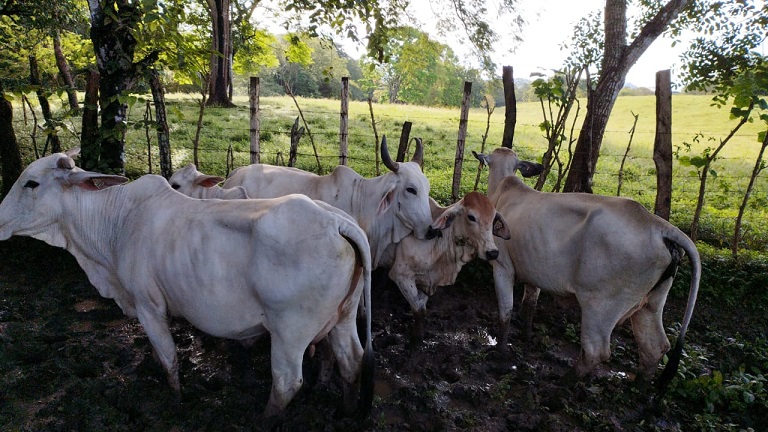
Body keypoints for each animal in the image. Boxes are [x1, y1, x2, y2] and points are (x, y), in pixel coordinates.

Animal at [0, 150, 375, 417]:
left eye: (31, 183)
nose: (0, 220)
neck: (117, 221)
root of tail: (337, 222)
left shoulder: (148, 306)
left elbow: (168, 358)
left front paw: (176, 400)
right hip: (342, 319)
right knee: (351, 361)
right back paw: (345, 411)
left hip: (289, 331)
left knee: (286, 382)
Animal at [473, 147, 701, 391]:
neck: (503, 187)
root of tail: (658, 226)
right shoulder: (534, 273)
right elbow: (529, 306)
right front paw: (526, 338)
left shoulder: (503, 267)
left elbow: (505, 312)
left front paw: (500, 351)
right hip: (650, 303)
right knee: (654, 348)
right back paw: (637, 390)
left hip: (600, 306)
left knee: (596, 352)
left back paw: (558, 387)